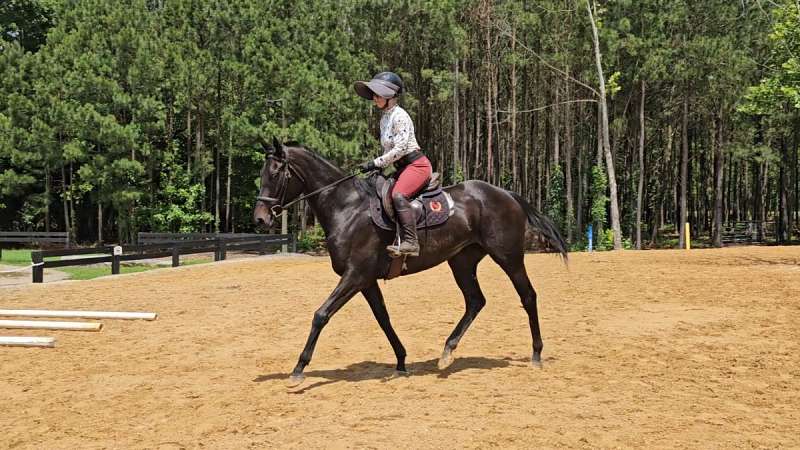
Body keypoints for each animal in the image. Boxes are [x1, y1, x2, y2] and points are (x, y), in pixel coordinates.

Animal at [253, 140, 567, 386]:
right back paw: (447, 352)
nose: (260, 219)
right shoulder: (366, 280)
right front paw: (402, 362)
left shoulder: (355, 275)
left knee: (528, 296)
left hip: (508, 257)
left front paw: (298, 368)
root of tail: (506, 194)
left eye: (276, 172)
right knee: (475, 301)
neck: (347, 208)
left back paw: (536, 354)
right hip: (462, 262)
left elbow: (321, 314)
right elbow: (383, 318)